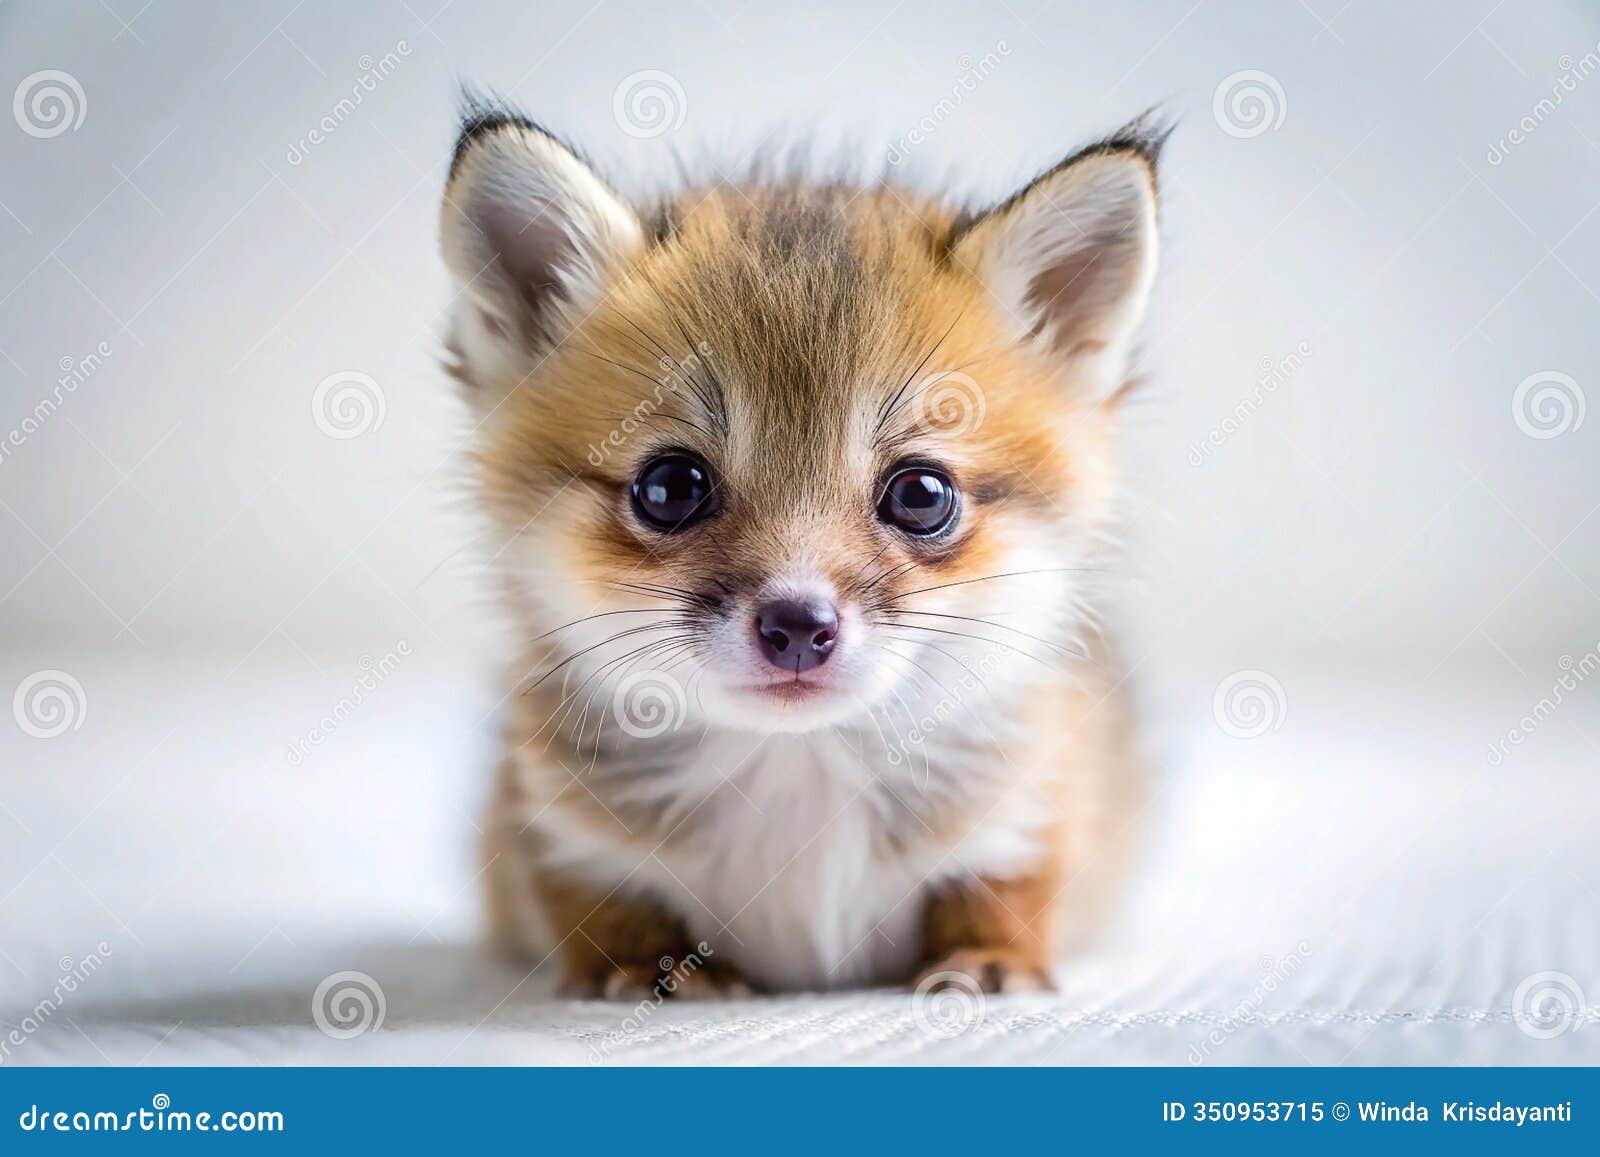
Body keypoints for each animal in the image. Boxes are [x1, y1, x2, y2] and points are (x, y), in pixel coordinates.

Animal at [440, 103, 1162, 999]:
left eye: (922, 495)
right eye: (670, 487)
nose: (796, 626)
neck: (795, 782)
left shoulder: (1029, 807)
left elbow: (1004, 888)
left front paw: (989, 961)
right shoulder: (563, 834)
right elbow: (601, 907)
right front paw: (647, 969)